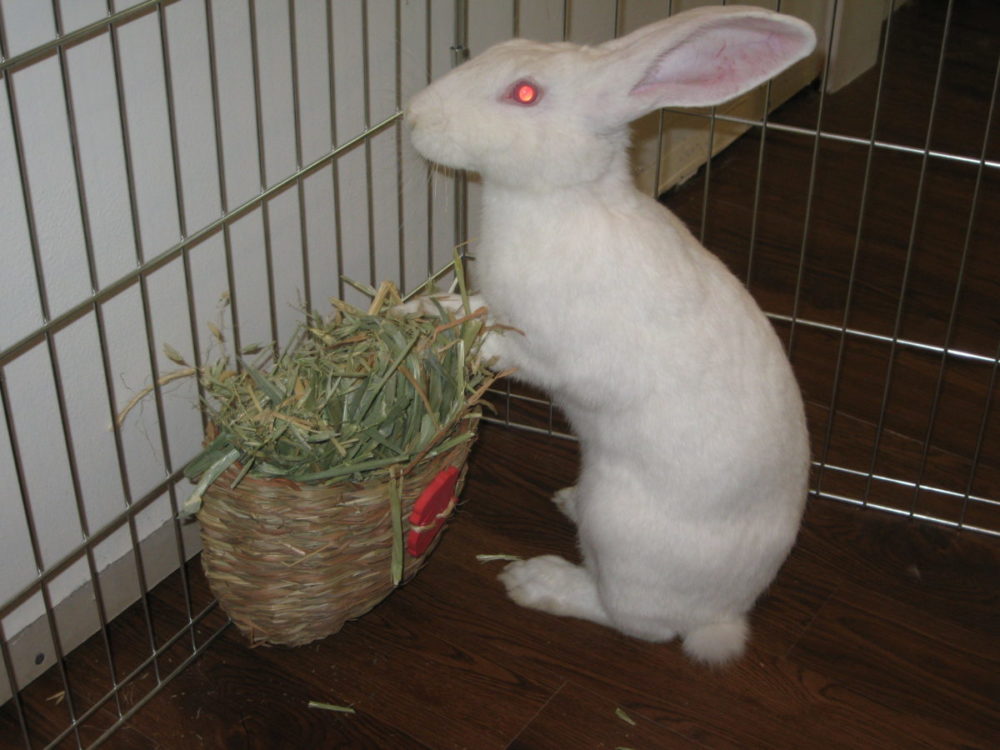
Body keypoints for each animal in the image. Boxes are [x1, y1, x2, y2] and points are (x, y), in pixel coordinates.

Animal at [405, 6, 816, 665]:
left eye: (525, 93)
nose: (414, 116)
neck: (560, 199)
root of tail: (723, 616)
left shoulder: (547, 347)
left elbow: (503, 347)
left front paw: (436, 332)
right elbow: (468, 305)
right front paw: (418, 305)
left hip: (620, 533)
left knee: (635, 622)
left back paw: (538, 582)